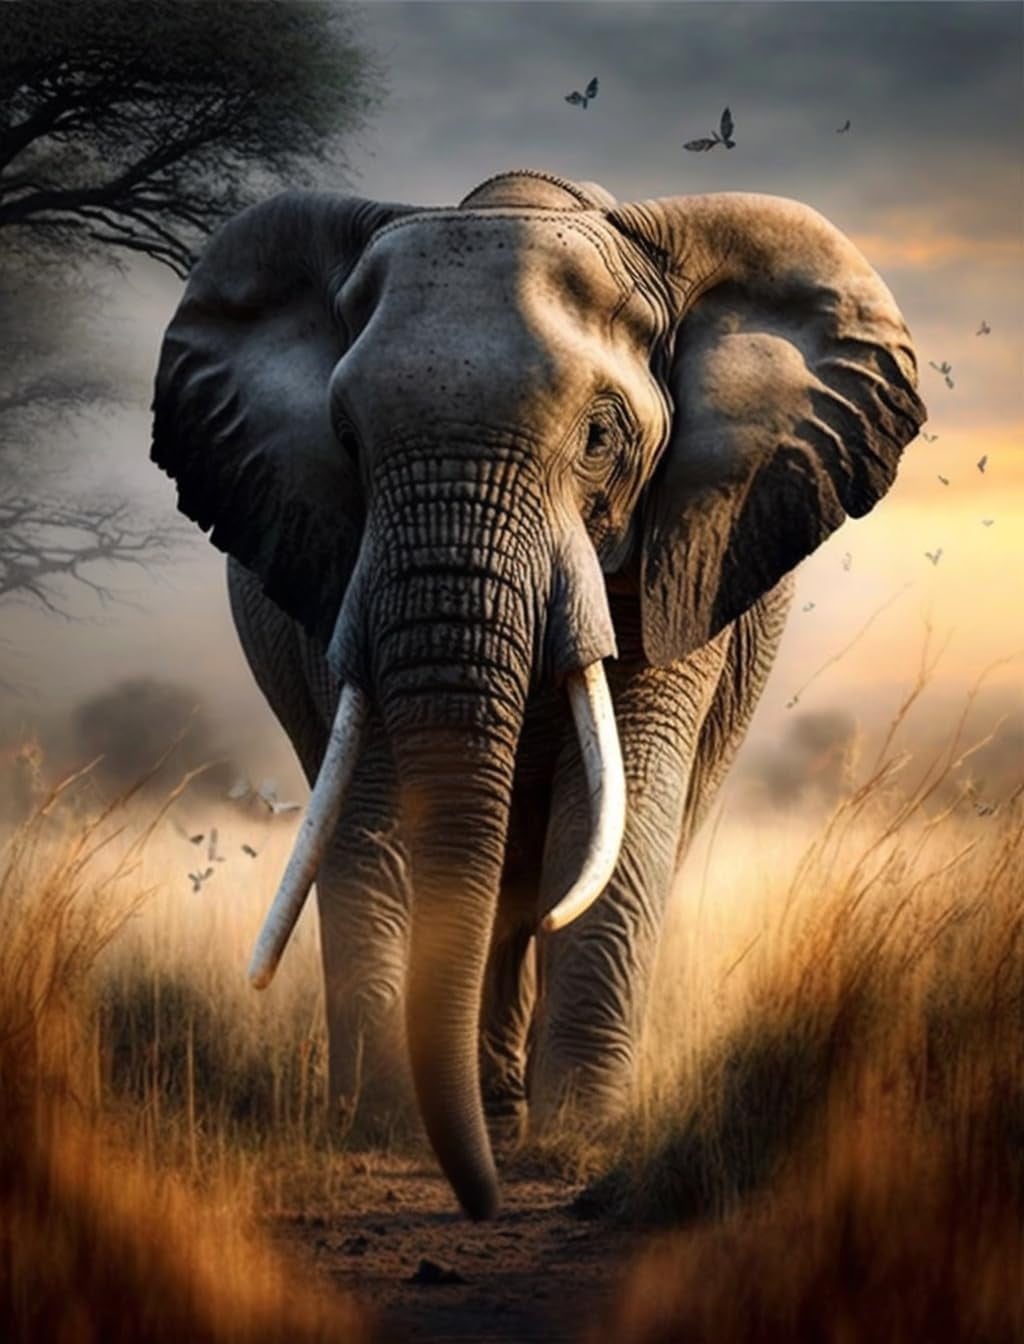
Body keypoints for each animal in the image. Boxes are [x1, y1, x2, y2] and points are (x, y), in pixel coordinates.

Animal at [151, 168, 925, 1220]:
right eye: (344, 437)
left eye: (599, 437)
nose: (480, 1205)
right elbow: (378, 808)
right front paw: (385, 1131)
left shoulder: (679, 545)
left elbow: (620, 804)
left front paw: (579, 1135)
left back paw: (509, 1112)